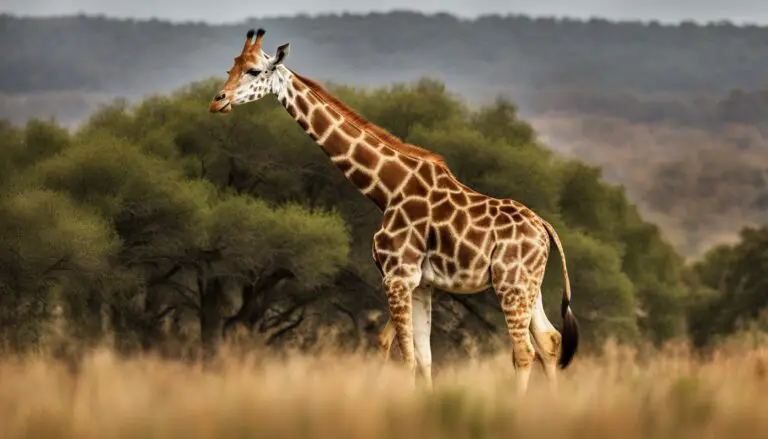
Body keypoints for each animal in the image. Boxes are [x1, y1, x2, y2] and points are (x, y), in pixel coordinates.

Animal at [208, 28, 580, 394]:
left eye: (254, 70)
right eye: (230, 67)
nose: (217, 101)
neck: (387, 189)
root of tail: (545, 228)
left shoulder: (398, 275)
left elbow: (407, 356)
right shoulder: (420, 282)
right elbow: (421, 355)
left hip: (511, 283)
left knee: (524, 350)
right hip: (529, 285)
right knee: (550, 340)